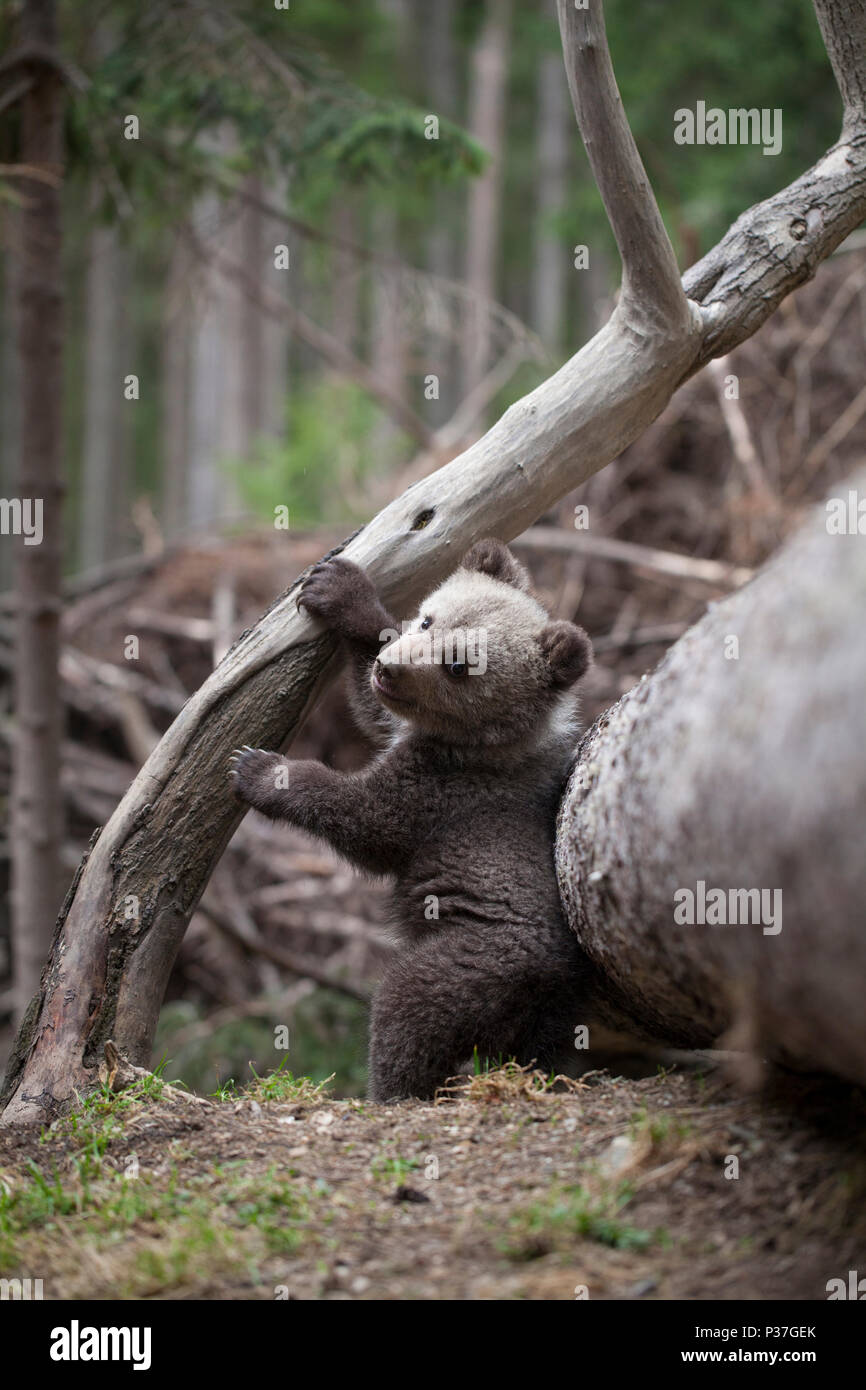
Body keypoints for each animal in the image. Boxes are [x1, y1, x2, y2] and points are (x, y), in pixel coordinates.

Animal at [231, 538, 593, 1101]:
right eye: (427, 619)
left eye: (459, 665)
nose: (392, 667)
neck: (478, 743)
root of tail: (552, 984)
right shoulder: (405, 727)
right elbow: (370, 706)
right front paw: (339, 589)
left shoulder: (443, 791)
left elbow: (370, 822)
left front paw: (261, 769)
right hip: (544, 1020)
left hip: (478, 958)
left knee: (407, 1007)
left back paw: (389, 1090)